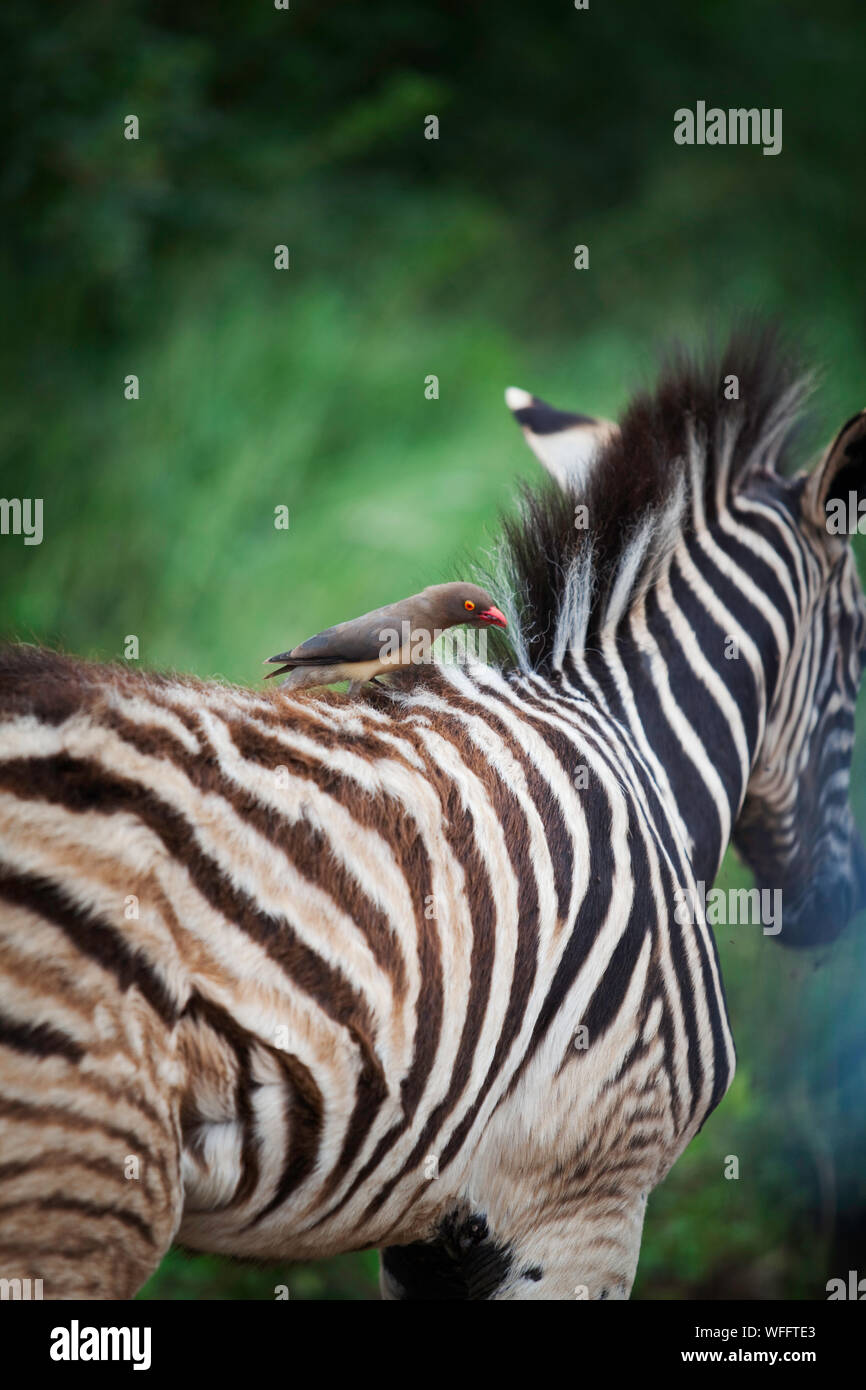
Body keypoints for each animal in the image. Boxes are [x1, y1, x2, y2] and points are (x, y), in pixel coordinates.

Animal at [0, 329, 864, 1301]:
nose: (831, 905)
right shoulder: (588, 1193)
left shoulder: (442, 1224)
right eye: (859, 643)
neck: (627, 737)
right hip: (89, 1171)